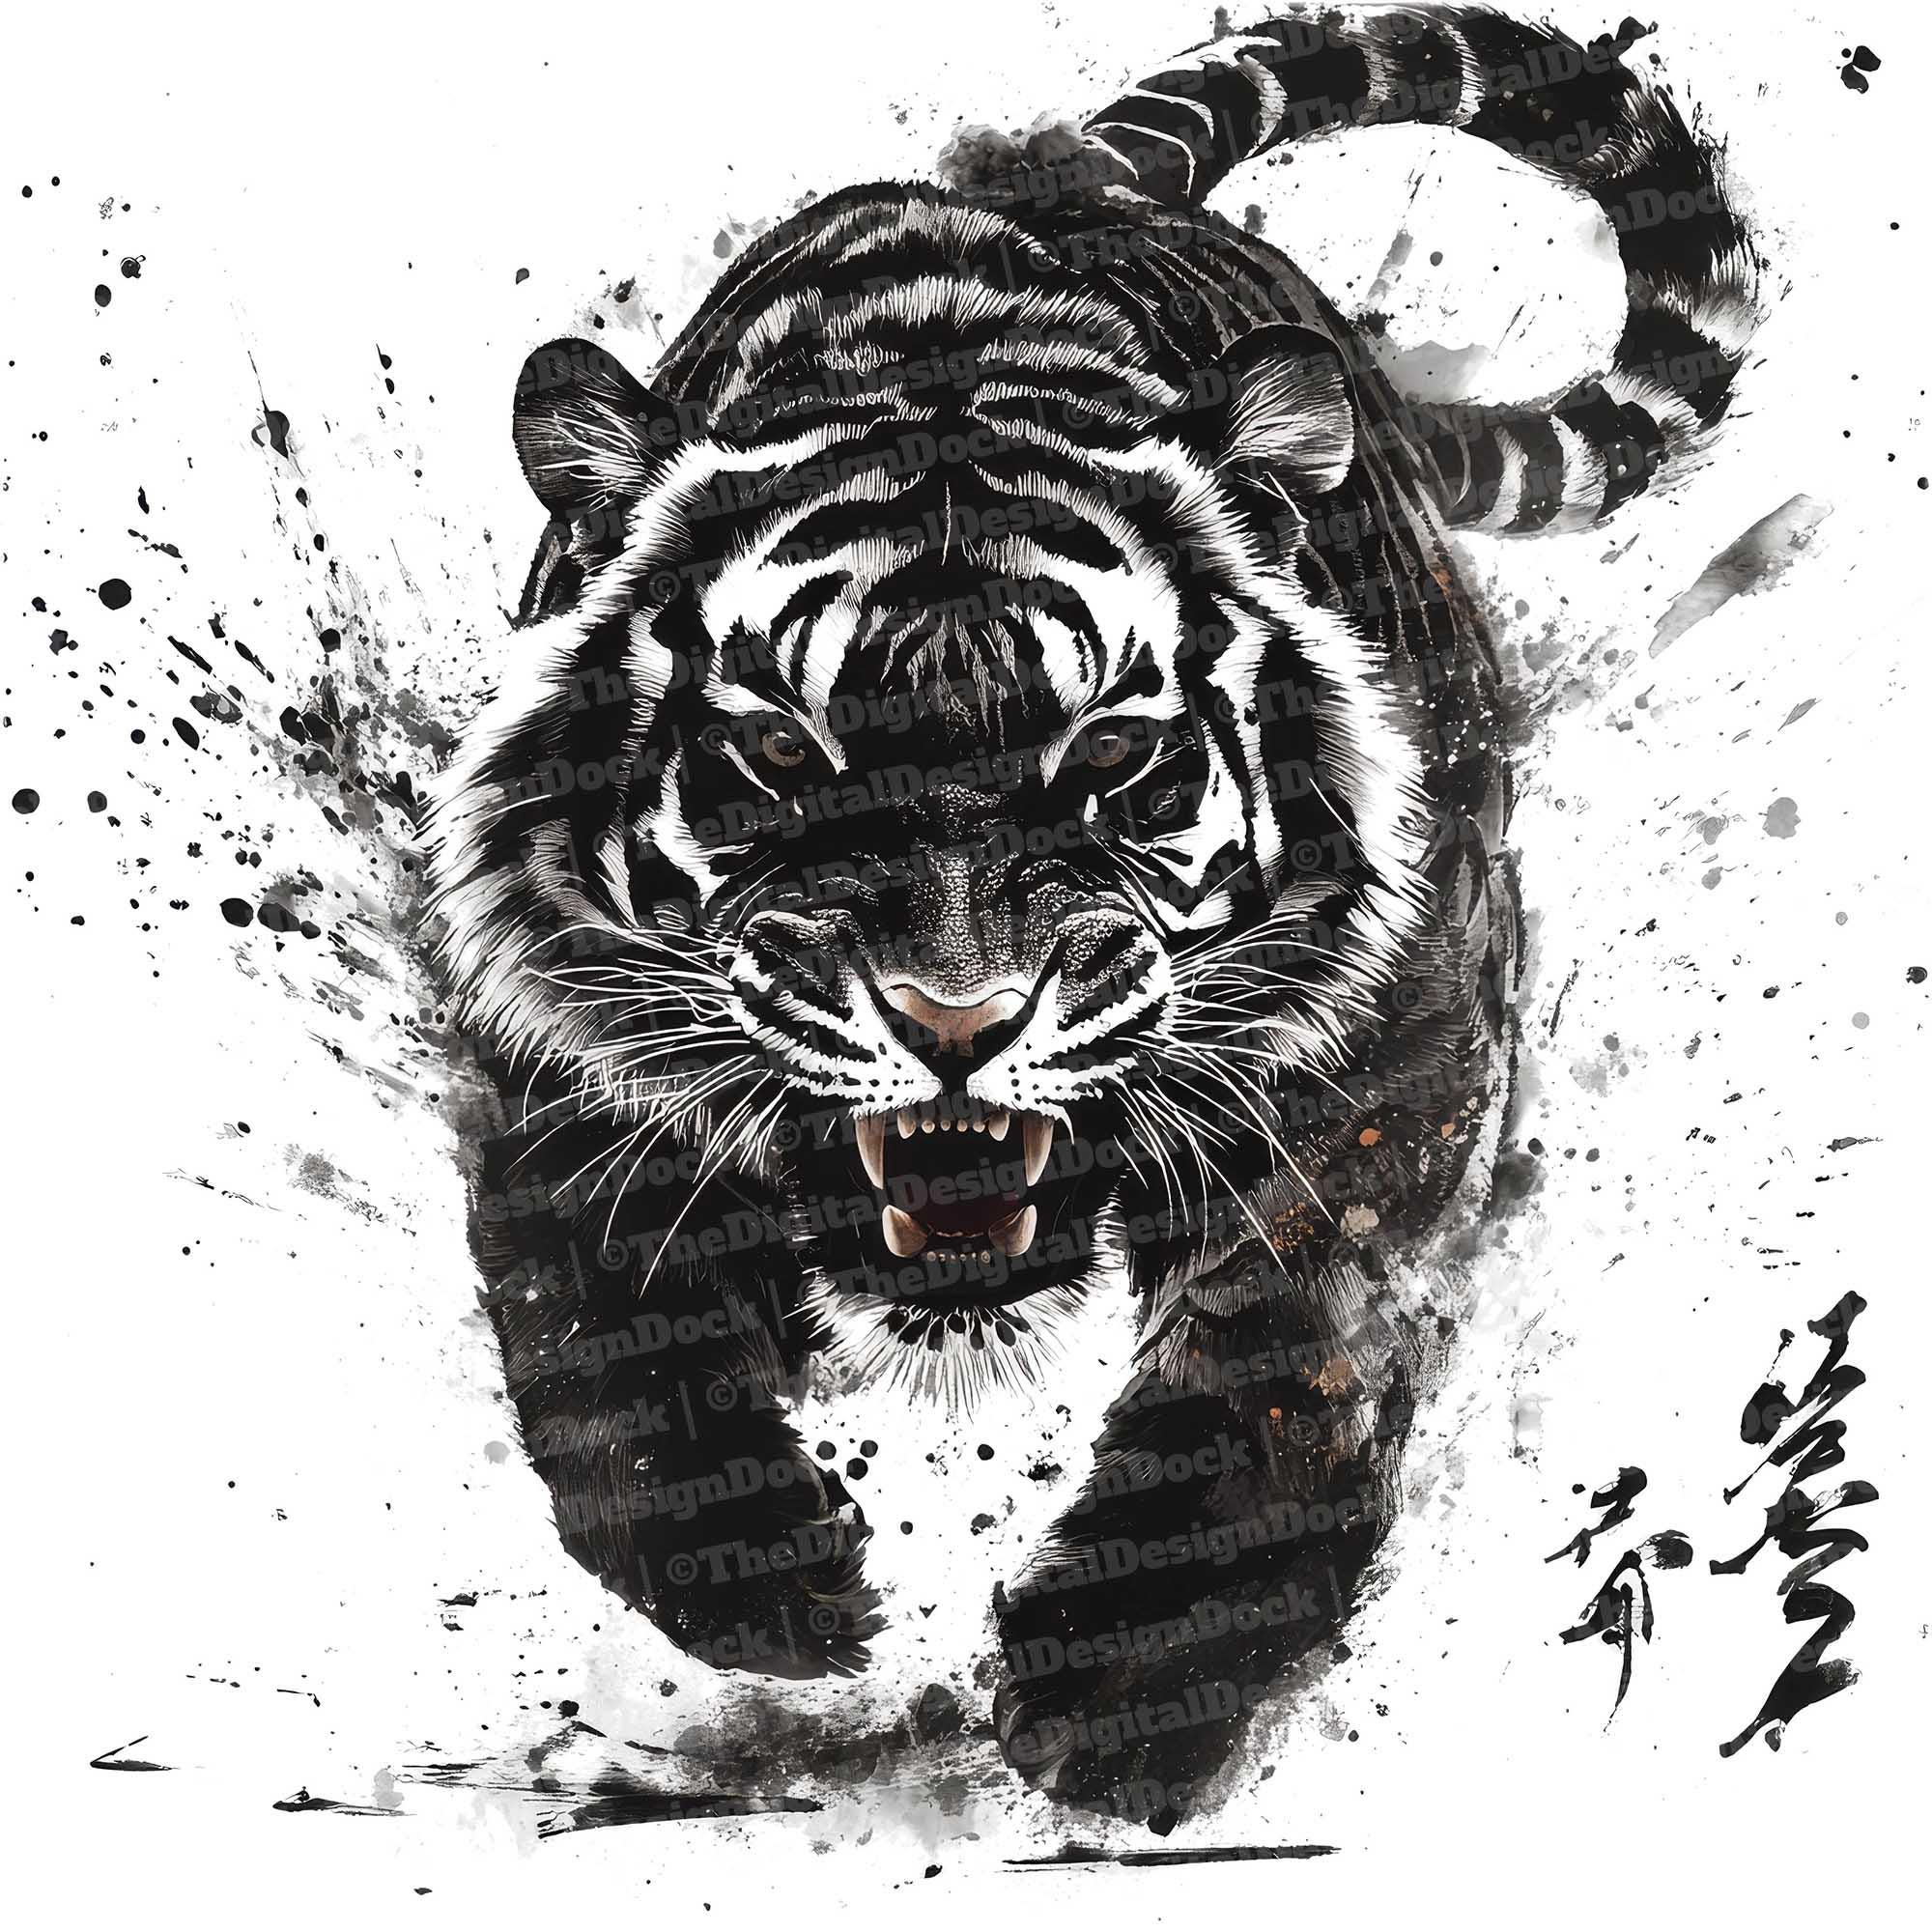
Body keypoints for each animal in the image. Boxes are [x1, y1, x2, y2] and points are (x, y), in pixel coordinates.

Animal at [426, 4, 1761, 1828]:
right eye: (783, 754)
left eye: (1112, 757)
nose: (955, 1025)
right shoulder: (552, 1057)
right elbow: (607, 1349)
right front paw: (776, 1596)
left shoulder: (1391, 1065)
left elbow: (1278, 1367)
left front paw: (1123, 1708)